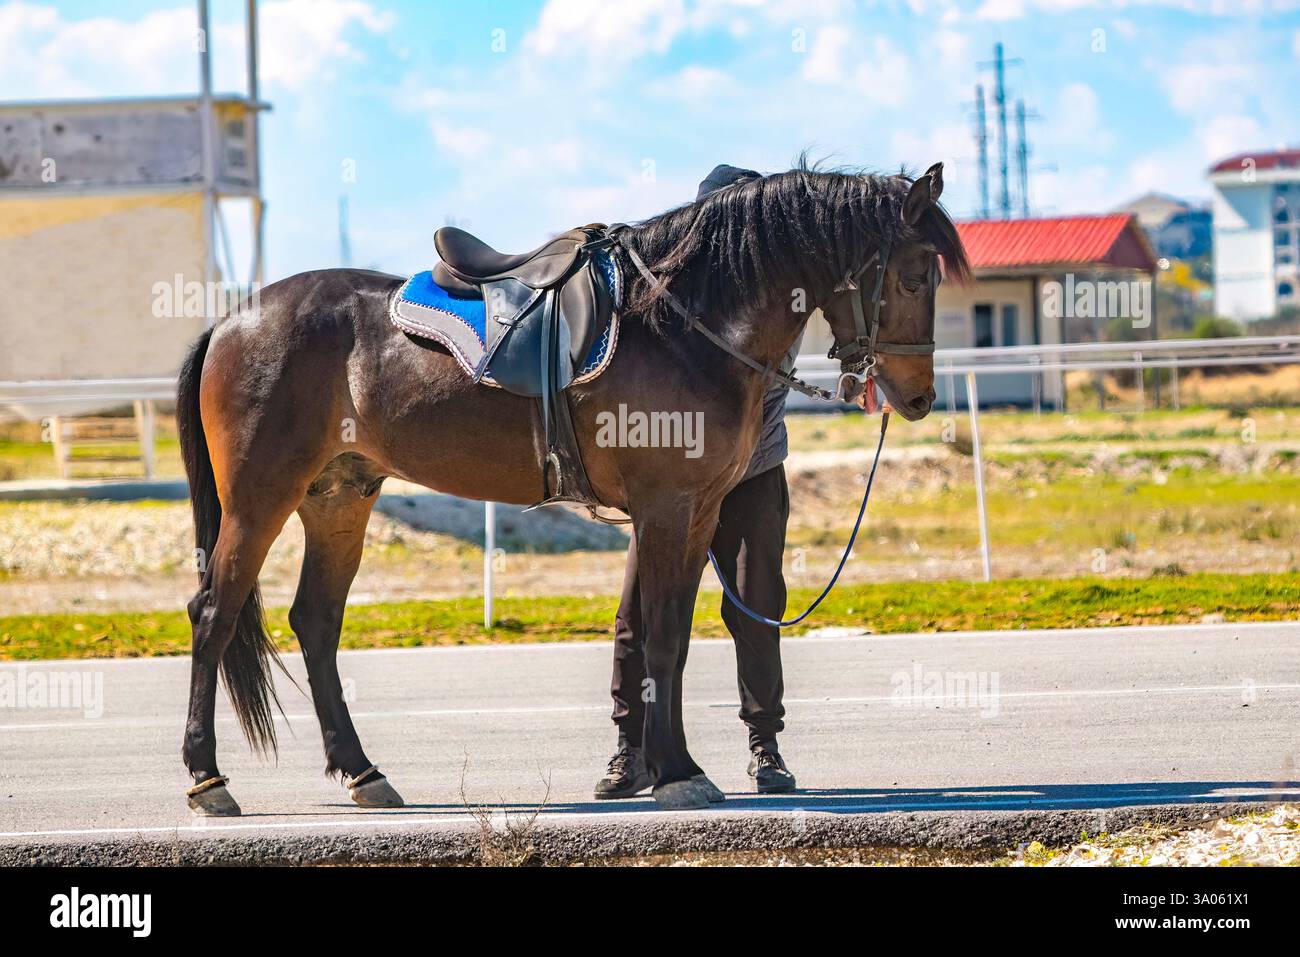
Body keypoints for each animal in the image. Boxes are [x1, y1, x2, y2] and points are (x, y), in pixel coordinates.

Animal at [175, 162, 971, 815]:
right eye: (914, 276)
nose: (919, 397)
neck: (681, 324)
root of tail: (234, 319)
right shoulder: (666, 510)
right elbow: (661, 639)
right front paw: (677, 771)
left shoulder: (699, 512)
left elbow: (673, 637)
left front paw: (669, 765)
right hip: (260, 499)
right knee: (214, 613)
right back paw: (208, 779)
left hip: (339, 498)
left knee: (316, 623)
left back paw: (363, 772)